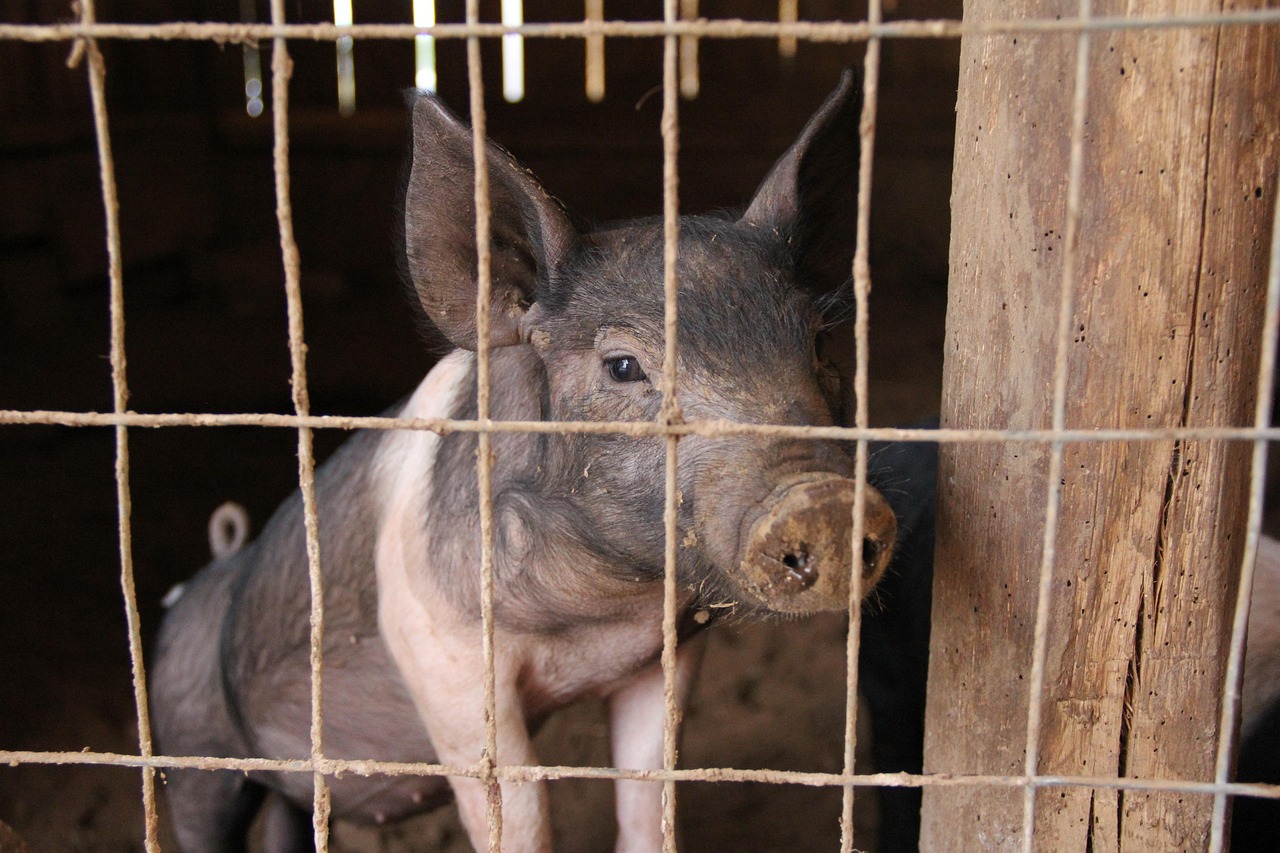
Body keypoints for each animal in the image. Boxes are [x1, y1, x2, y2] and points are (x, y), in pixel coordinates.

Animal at [150, 70, 902, 853]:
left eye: (820, 343)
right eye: (623, 366)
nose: (821, 499)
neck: (601, 617)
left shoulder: (665, 657)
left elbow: (649, 788)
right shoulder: (438, 648)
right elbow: (517, 803)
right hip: (194, 751)